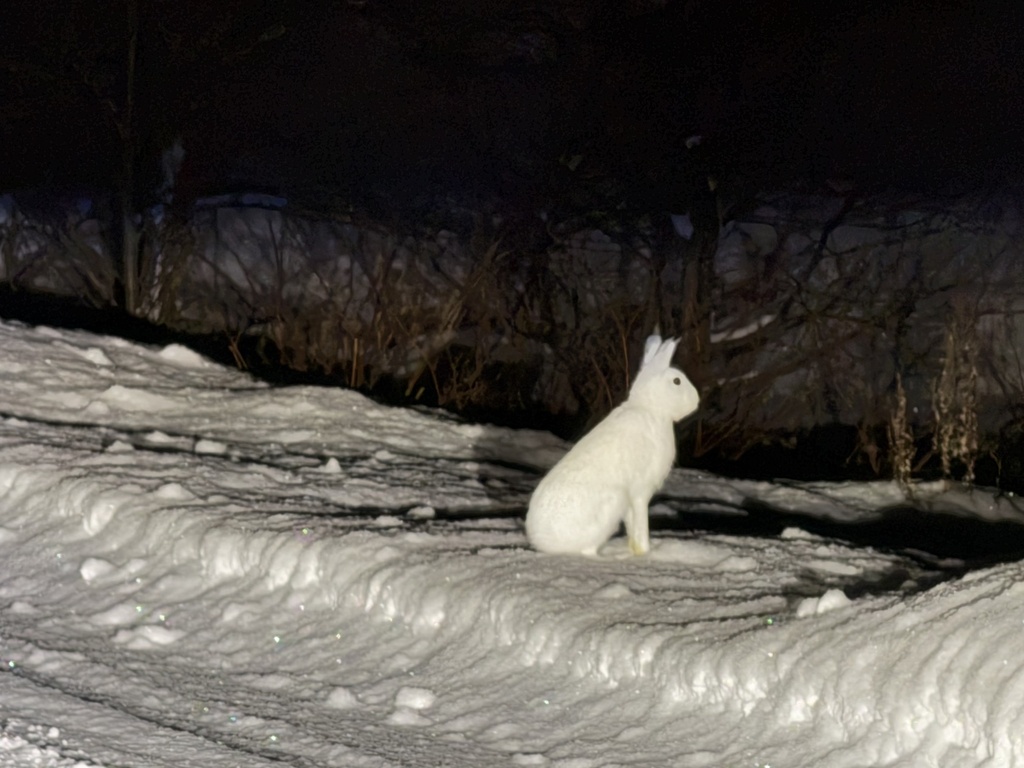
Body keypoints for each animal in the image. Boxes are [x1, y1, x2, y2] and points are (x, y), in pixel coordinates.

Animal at [526, 334, 699, 556]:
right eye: (677, 381)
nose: (696, 400)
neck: (650, 407)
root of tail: (545, 544)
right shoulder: (640, 492)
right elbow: (640, 523)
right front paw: (645, 552)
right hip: (610, 507)